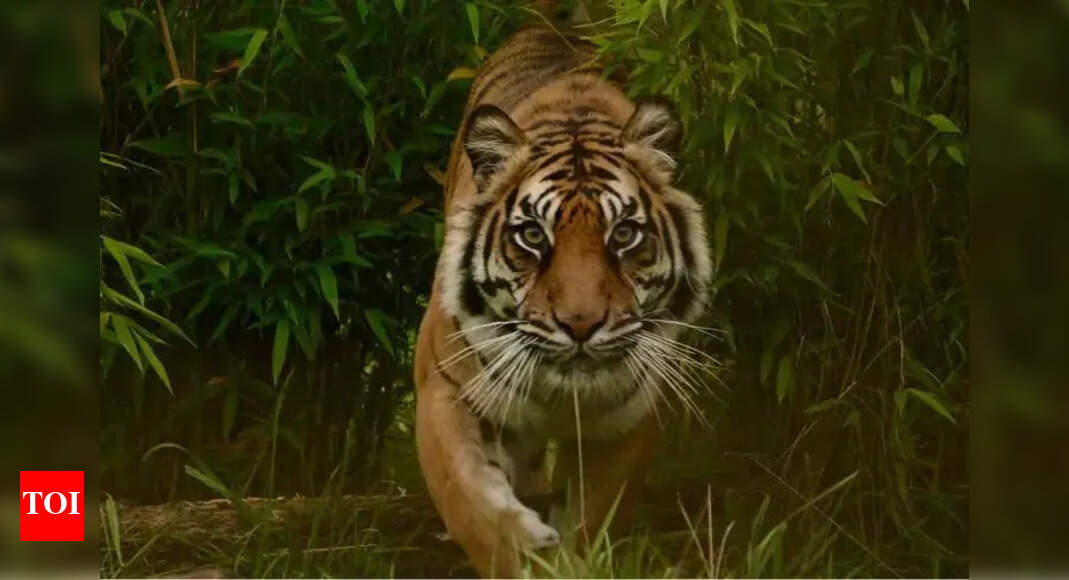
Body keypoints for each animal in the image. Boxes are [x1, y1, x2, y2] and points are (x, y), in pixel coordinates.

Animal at [413, 21, 713, 578]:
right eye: (533, 235)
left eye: (624, 234)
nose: (580, 323)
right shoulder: (445, 385)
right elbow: (468, 498)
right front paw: (523, 549)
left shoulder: (627, 418)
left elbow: (595, 517)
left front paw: (572, 560)